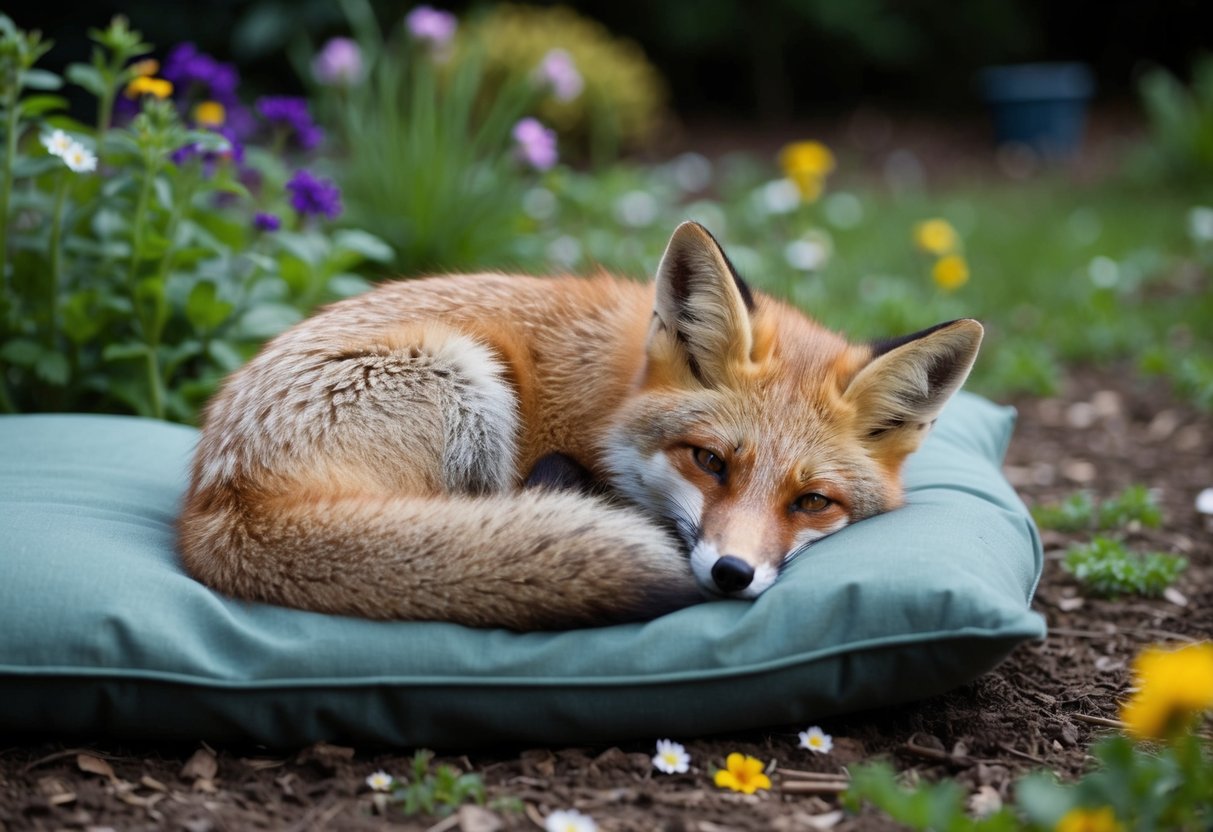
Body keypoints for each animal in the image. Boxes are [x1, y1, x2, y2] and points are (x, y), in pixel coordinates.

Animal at [178, 221, 983, 631]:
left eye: (812, 501)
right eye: (710, 462)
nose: (731, 574)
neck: (610, 397)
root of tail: (218, 506)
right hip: (469, 380)